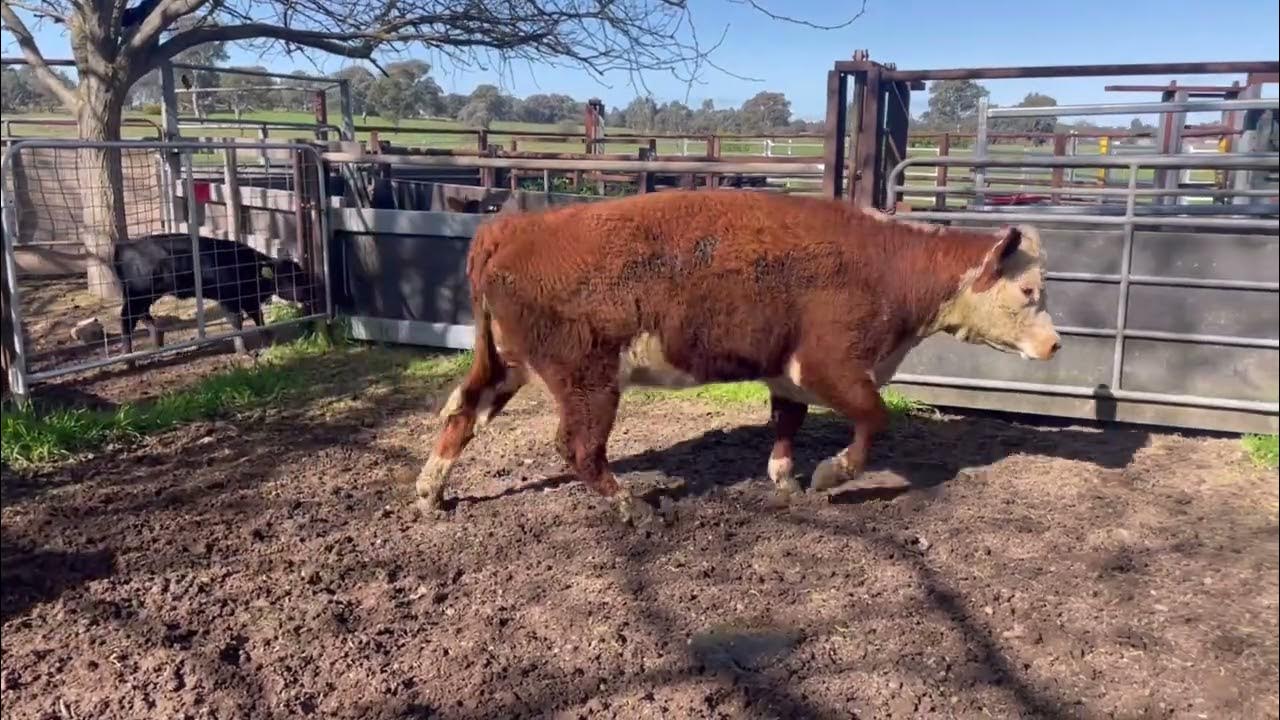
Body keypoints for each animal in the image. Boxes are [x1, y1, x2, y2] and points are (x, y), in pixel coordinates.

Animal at [112, 233, 308, 355]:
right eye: (288, 278)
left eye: (300, 272)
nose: (308, 290)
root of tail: (123, 246)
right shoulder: (229, 299)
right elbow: (237, 322)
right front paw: (243, 350)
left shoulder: (249, 300)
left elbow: (258, 318)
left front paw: (269, 339)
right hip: (137, 294)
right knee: (126, 318)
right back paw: (128, 354)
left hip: (145, 296)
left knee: (141, 315)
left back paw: (157, 342)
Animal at [416, 190, 1061, 524]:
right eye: (1029, 290)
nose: (1056, 344)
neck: (889, 265)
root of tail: (516, 228)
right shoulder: (833, 365)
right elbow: (874, 419)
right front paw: (830, 474)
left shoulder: (790, 373)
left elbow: (788, 422)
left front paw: (785, 480)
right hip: (586, 378)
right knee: (576, 448)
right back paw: (631, 504)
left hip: (508, 365)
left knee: (462, 412)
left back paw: (430, 492)